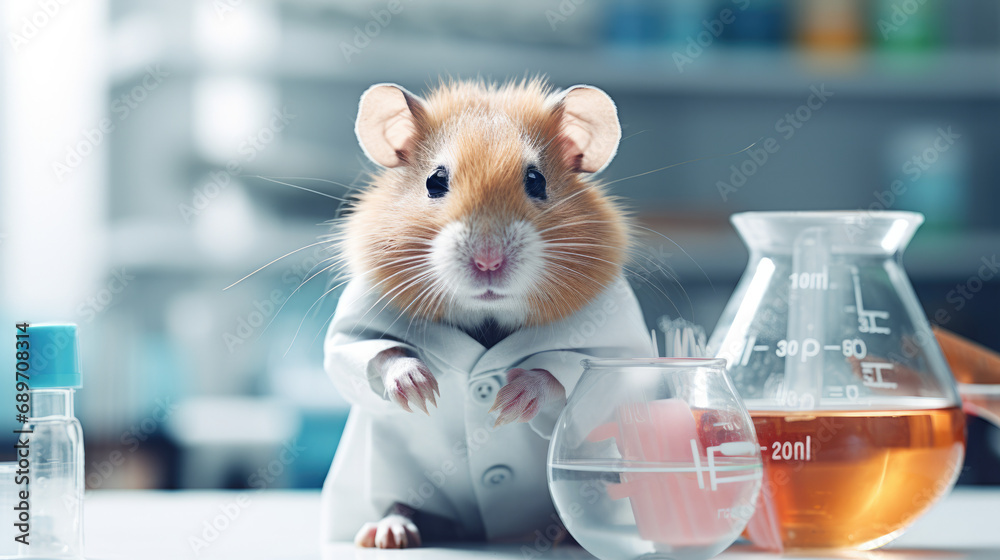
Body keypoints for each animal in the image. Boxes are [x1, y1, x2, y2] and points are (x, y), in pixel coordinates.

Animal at [321, 78, 653, 549]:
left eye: (536, 180)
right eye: (435, 181)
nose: (488, 261)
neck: (487, 314)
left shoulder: (616, 338)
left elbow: (564, 372)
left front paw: (508, 403)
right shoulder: (355, 322)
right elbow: (372, 352)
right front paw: (422, 391)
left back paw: (563, 535)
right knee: (400, 503)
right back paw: (390, 532)